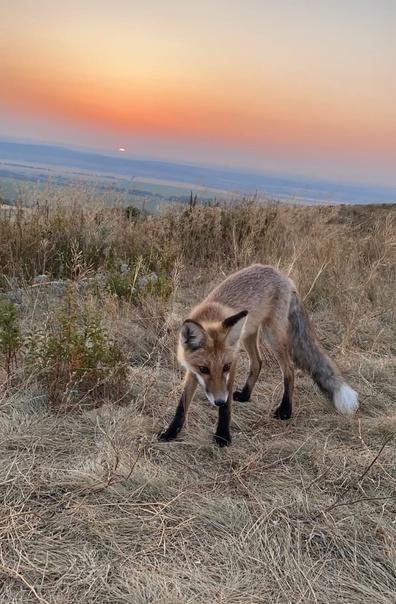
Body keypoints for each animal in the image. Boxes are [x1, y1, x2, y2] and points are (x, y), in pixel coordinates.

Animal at [159, 262, 358, 446]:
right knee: (258, 362)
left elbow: (226, 409)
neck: (210, 317)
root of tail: (283, 275)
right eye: (204, 369)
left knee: (289, 369)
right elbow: (182, 404)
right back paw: (246, 395)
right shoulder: (192, 371)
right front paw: (171, 432)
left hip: (272, 335)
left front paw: (223, 435)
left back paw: (285, 410)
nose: (219, 401)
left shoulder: (233, 362)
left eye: (225, 367)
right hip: (248, 335)